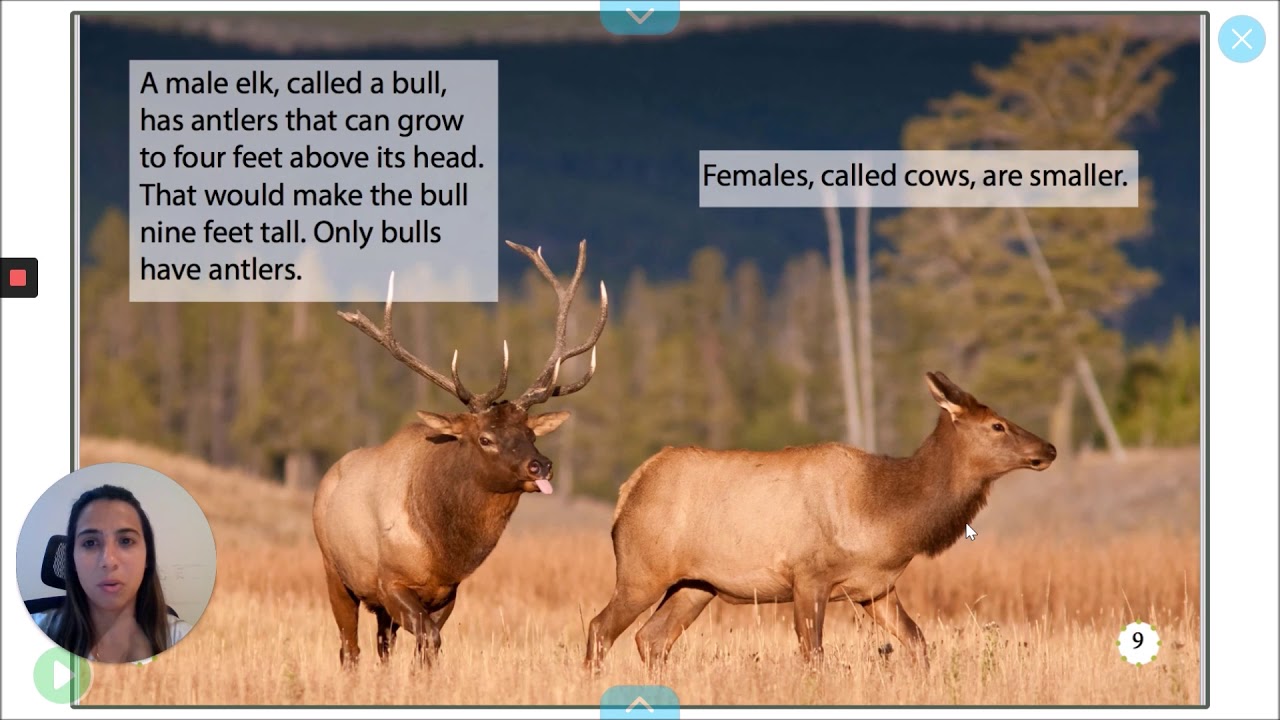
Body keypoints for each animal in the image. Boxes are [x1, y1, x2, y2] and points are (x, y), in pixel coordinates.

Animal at [313, 239, 608, 669]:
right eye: (485, 438)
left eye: (529, 432)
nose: (542, 465)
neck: (445, 550)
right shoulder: (390, 581)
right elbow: (429, 639)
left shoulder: (447, 592)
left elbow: (427, 646)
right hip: (336, 573)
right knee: (349, 648)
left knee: (383, 646)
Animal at [583, 371, 1056, 672]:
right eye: (997, 425)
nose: (1049, 448)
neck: (888, 516)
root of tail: (629, 489)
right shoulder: (809, 577)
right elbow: (814, 655)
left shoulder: (876, 588)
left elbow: (918, 642)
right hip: (642, 572)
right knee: (600, 628)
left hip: (696, 586)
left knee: (651, 639)